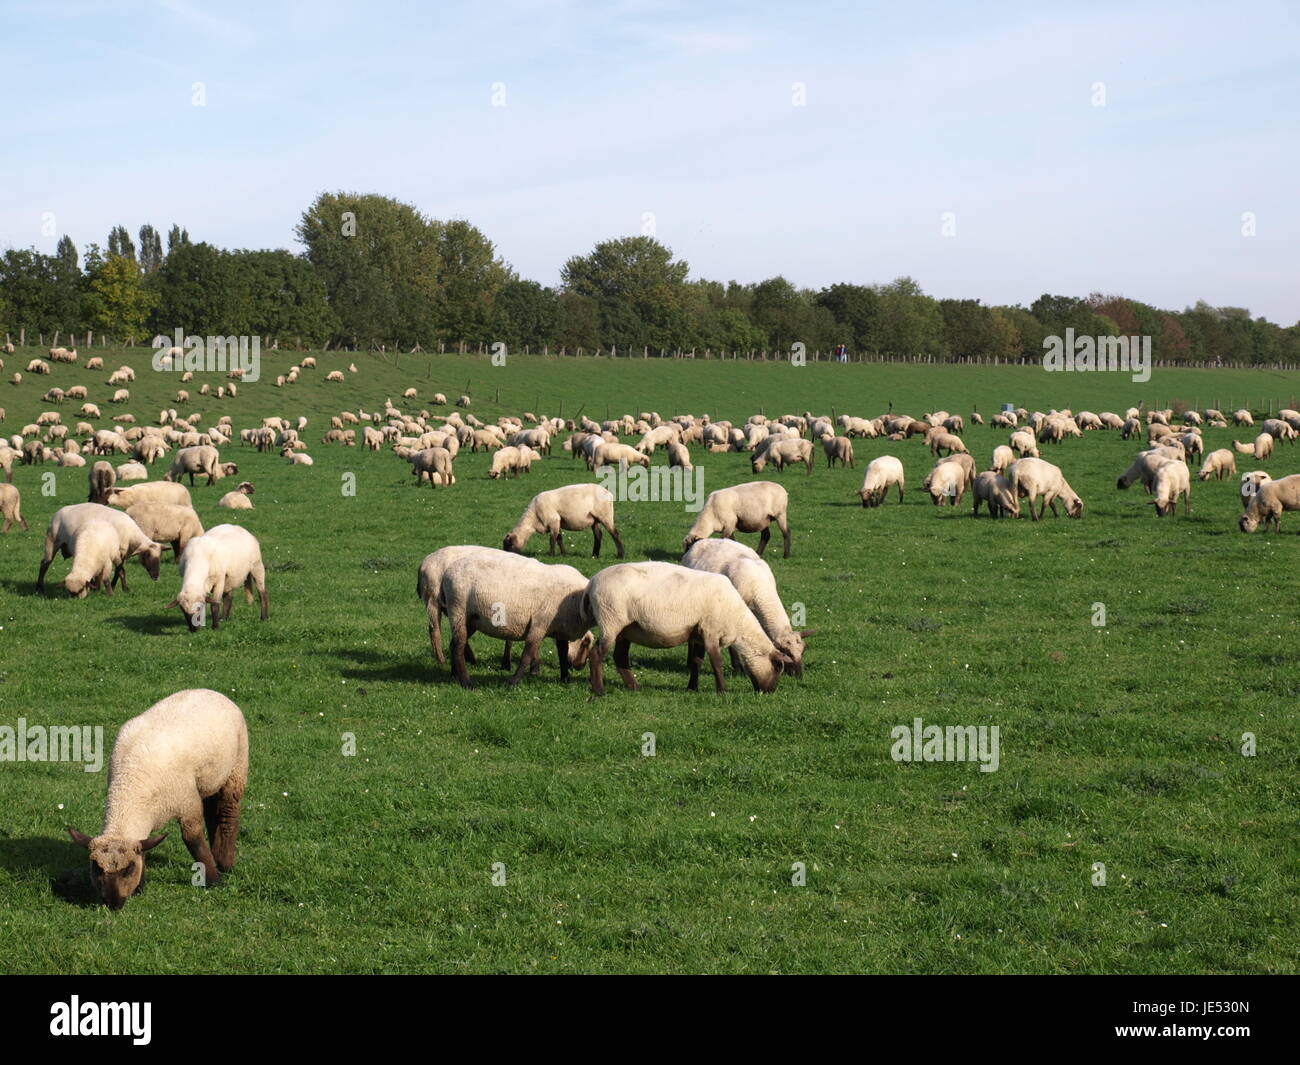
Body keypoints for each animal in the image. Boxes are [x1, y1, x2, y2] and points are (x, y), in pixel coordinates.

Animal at [67, 689, 248, 907]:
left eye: (128, 869)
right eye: (96, 867)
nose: (112, 904)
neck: (131, 783)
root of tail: (212, 691)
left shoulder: (186, 801)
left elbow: (193, 839)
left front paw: (214, 880)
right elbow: (145, 846)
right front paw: (140, 888)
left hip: (237, 767)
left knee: (229, 812)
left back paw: (225, 863)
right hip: (210, 779)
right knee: (214, 811)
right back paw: (217, 855)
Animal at [439, 553, 594, 687]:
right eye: (585, 643)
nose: (581, 666)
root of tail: (447, 572)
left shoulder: (560, 630)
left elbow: (562, 653)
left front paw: (565, 679)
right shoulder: (540, 623)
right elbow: (527, 653)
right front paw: (513, 682)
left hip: (471, 619)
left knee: (453, 644)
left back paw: (455, 675)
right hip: (457, 608)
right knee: (458, 646)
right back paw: (466, 683)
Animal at [581, 562, 792, 695]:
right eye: (778, 667)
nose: (769, 692)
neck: (737, 621)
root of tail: (591, 584)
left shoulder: (698, 633)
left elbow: (697, 661)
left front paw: (692, 688)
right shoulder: (710, 631)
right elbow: (716, 662)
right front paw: (722, 691)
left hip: (626, 629)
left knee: (620, 657)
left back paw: (634, 687)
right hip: (610, 620)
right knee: (596, 654)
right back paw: (599, 691)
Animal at [682, 538, 811, 676]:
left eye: (803, 651)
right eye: (787, 652)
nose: (798, 675)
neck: (760, 586)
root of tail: (699, 542)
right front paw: (738, 667)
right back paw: (689, 662)